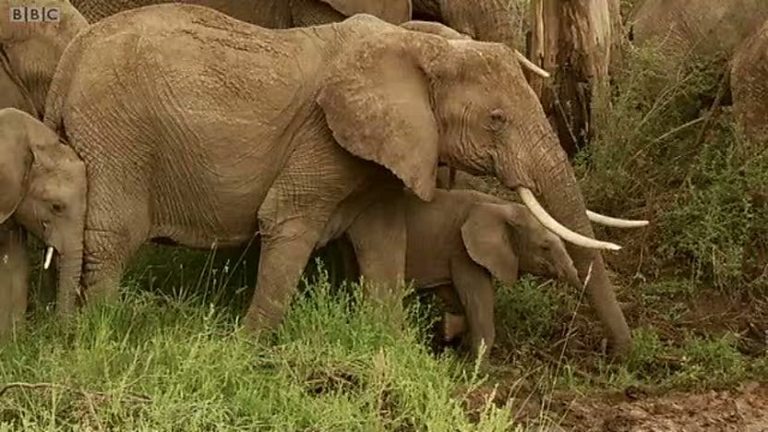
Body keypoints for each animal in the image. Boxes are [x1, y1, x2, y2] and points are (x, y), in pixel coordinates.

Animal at [350, 188, 581, 358]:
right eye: (545, 247)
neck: (501, 205)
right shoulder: (462, 250)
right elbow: (478, 302)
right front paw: (477, 370)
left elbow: (455, 297)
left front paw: (447, 331)